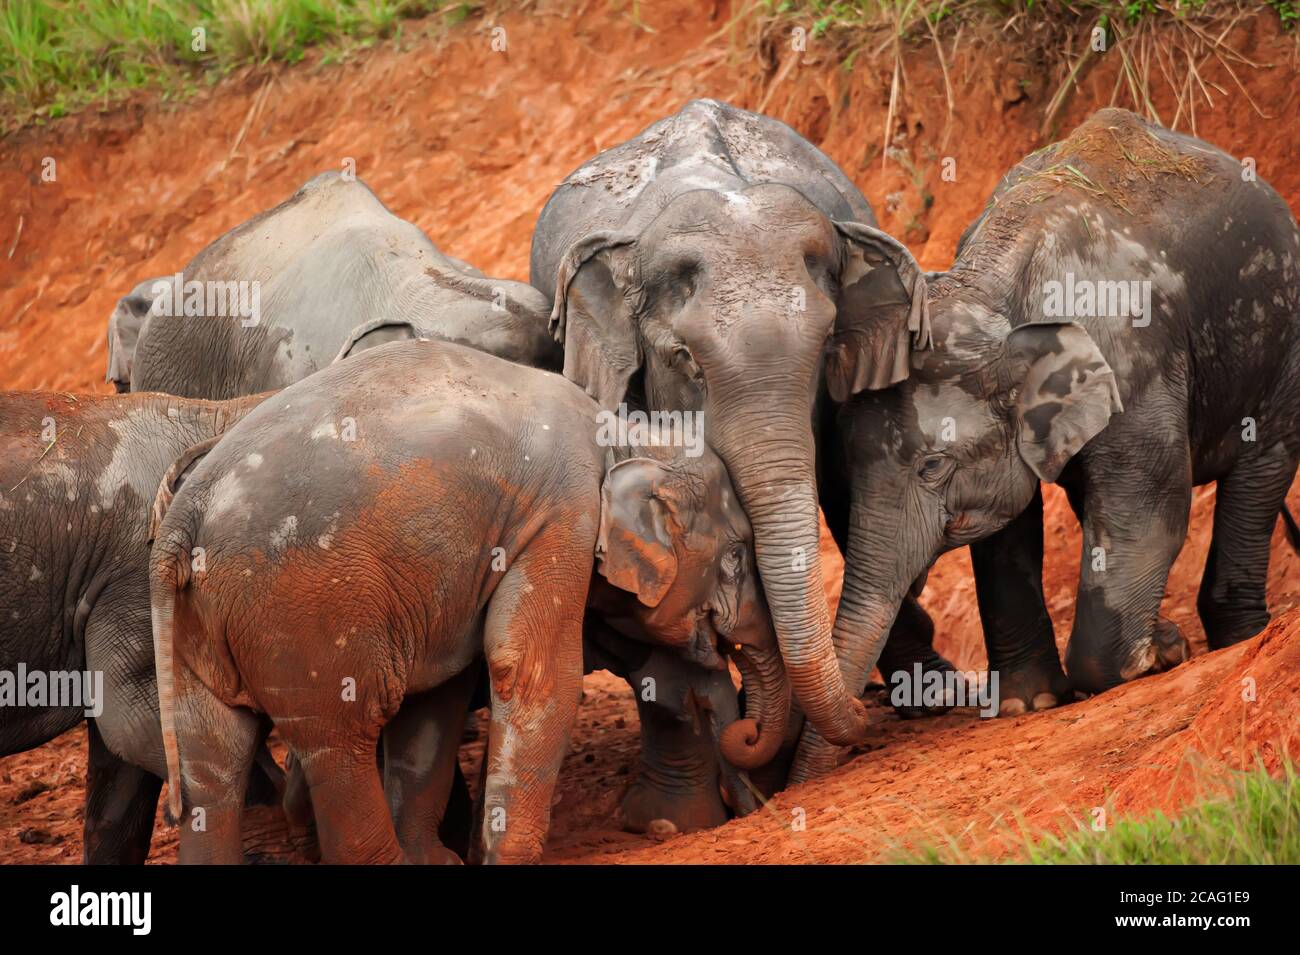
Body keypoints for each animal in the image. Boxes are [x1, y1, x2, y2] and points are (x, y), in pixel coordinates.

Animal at [149, 339, 784, 863]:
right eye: (735, 556)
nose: (746, 740)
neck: (623, 432)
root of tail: (185, 515)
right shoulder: (564, 512)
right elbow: (532, 672)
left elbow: (439, 694)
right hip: (301, 612)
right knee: (339, 737)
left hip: (197, 627)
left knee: (213, 760)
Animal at [792, 108, 1300, 780]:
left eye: (932, 466)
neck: (994, 288)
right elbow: (1006, 531)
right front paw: (1028, 702)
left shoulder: (1134, 361)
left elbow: (1150, 509)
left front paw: (1156, 656)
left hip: (1283, 344)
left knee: (1259, 474)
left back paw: (1238, 637)